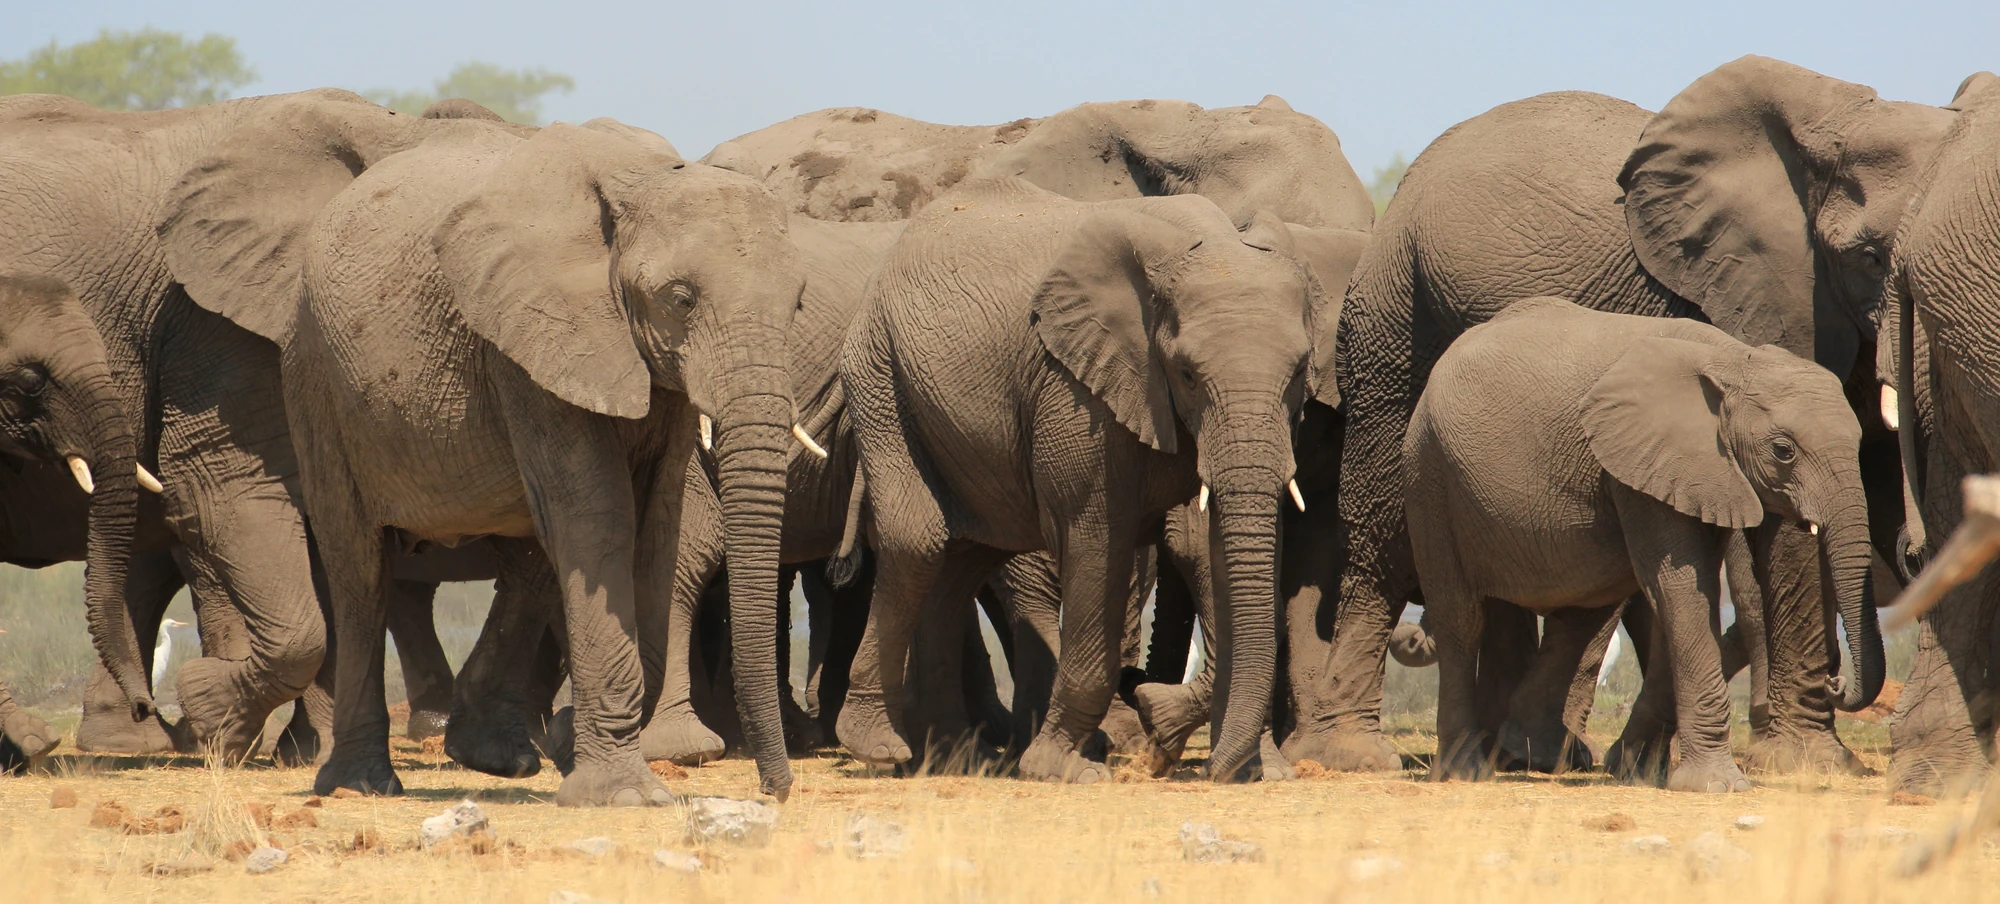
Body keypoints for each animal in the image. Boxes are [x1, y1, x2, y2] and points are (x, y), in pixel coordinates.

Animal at [204, 116, 807, 805]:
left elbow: (659, 521)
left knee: (531, 558)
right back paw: (360, 785)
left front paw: (581, 754)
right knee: (359, 565)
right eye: (680, 299)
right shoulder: (529, 342)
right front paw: (621, 795)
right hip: (315, 373)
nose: (775, 791)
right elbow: (599, 515)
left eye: (798, 302)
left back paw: (496, 759)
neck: (642, 181)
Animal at [838, 175, 1328, 783]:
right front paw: (1063, 769)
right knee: (918, 541)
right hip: (879, 371)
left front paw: (1259, 771)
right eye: (1187, 374)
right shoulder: (1075, 389)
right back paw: (879, 748)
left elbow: (1211, 549)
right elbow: (1097, 538)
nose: (1206, 771)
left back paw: (952, 758)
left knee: (961, 559)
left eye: (1299, 370)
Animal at [1405, 298, 1882, 792]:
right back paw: (1466, 770)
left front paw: (1638, 771)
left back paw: (1524, 752)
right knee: (1462, 618)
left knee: (1580, 612)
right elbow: (1681, 590)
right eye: (1783, 450)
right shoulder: (1643, 465)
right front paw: (1715, 785)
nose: (1836, 683)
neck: (1734, 360)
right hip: (1430, 473)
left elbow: (1686, 594)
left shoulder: (1703, 473)